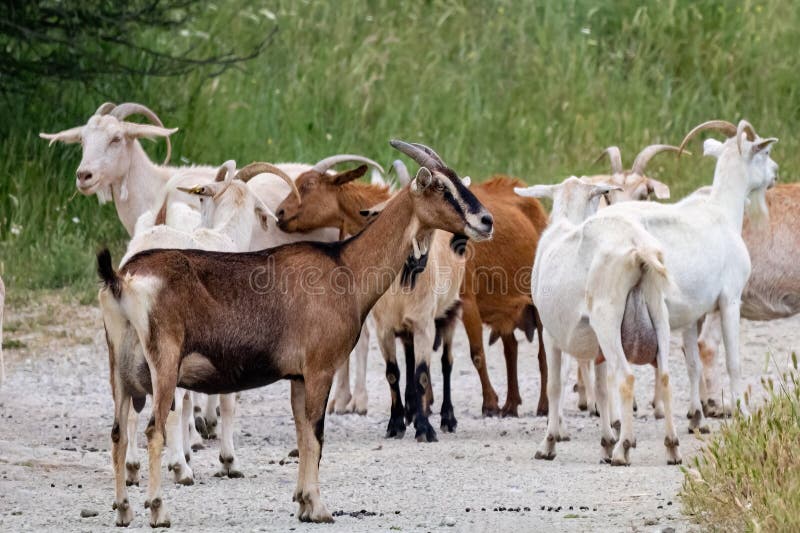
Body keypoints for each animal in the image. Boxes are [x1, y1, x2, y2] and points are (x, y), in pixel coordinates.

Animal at [97, 140, 493, 527]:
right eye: (441, 188)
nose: (486, 220)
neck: (346, 268)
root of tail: (123, 279)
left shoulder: (298, 376)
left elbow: (302, 434)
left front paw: (302, 502)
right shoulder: (320, 368)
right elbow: (316, 434)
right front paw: (318, 507)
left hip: (119, 365)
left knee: (118, 432)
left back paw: (123, 510)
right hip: (163, 362)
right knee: (153, 430)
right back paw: (158, 510)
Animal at [516, 177, 679, 465]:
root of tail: (639, 248)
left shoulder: (550, 334)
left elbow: (553, 386)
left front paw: (548, 444)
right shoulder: (598, 348)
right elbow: (602, 390)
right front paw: (605, 443)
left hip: (607, 318)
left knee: (626, 378)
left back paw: (623, 449)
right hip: (657, 313)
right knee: (665, 376)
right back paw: (671, 447)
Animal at [595, 119, 778, 433]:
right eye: (764, 153)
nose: (776, 173)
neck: (722, 212)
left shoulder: (693, 312)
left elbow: (693, 364)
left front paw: (696, 418)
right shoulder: (730, 300)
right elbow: (733, 361)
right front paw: (742, 413)